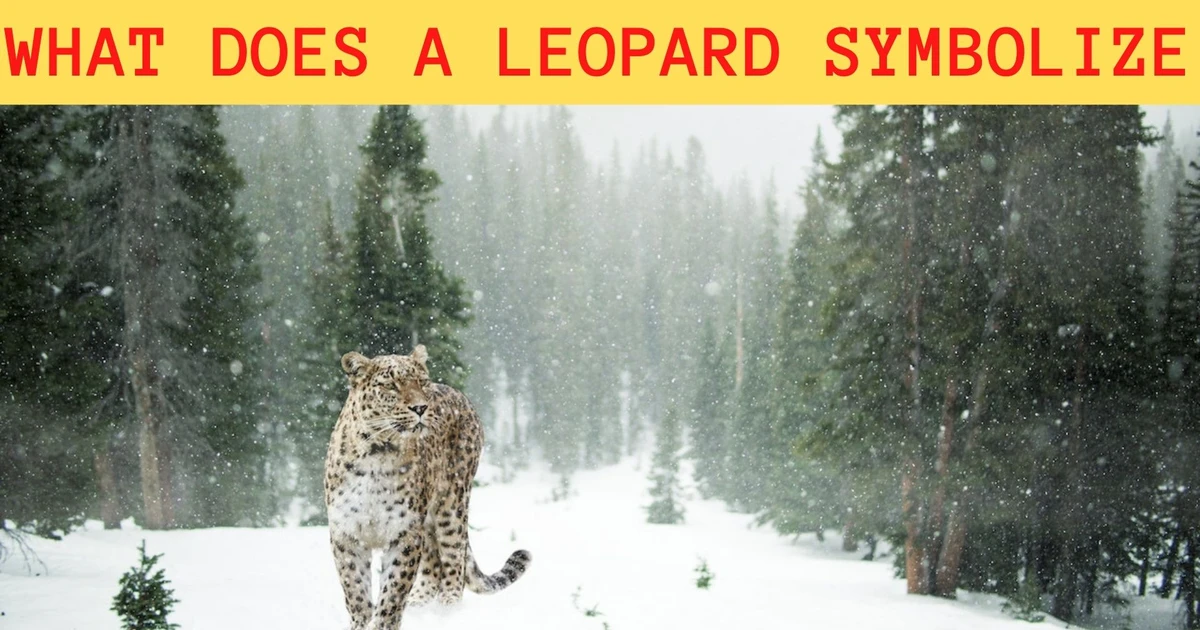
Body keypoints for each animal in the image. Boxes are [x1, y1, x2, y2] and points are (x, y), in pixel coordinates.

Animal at [324, 345, 531, 630]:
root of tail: (459, 394)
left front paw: (382, 623)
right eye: (391, 385)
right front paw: (362, 622)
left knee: (454, 557)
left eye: (421, 382)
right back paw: (419, 603)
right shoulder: (346, 533)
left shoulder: (405, 533)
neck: (377, 453)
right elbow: (355, 590)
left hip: (451, 504)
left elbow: (393, 592)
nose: (420, 407)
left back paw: (447, 609)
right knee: (433, 561)